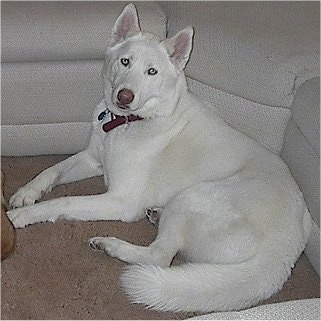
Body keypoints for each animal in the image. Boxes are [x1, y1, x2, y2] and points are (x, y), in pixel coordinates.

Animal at [8, 3, 312, 312]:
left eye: (152, 71)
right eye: (125, 61)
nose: (125, 96)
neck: (129, 122)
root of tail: (281, 254)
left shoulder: (120, 200)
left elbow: (64, 201)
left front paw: (21, 216)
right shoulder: (92, 158)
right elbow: (52, 170)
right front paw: (26, 194)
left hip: (191, 197)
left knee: (160, 256)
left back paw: (112, 245)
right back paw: (155, 214)